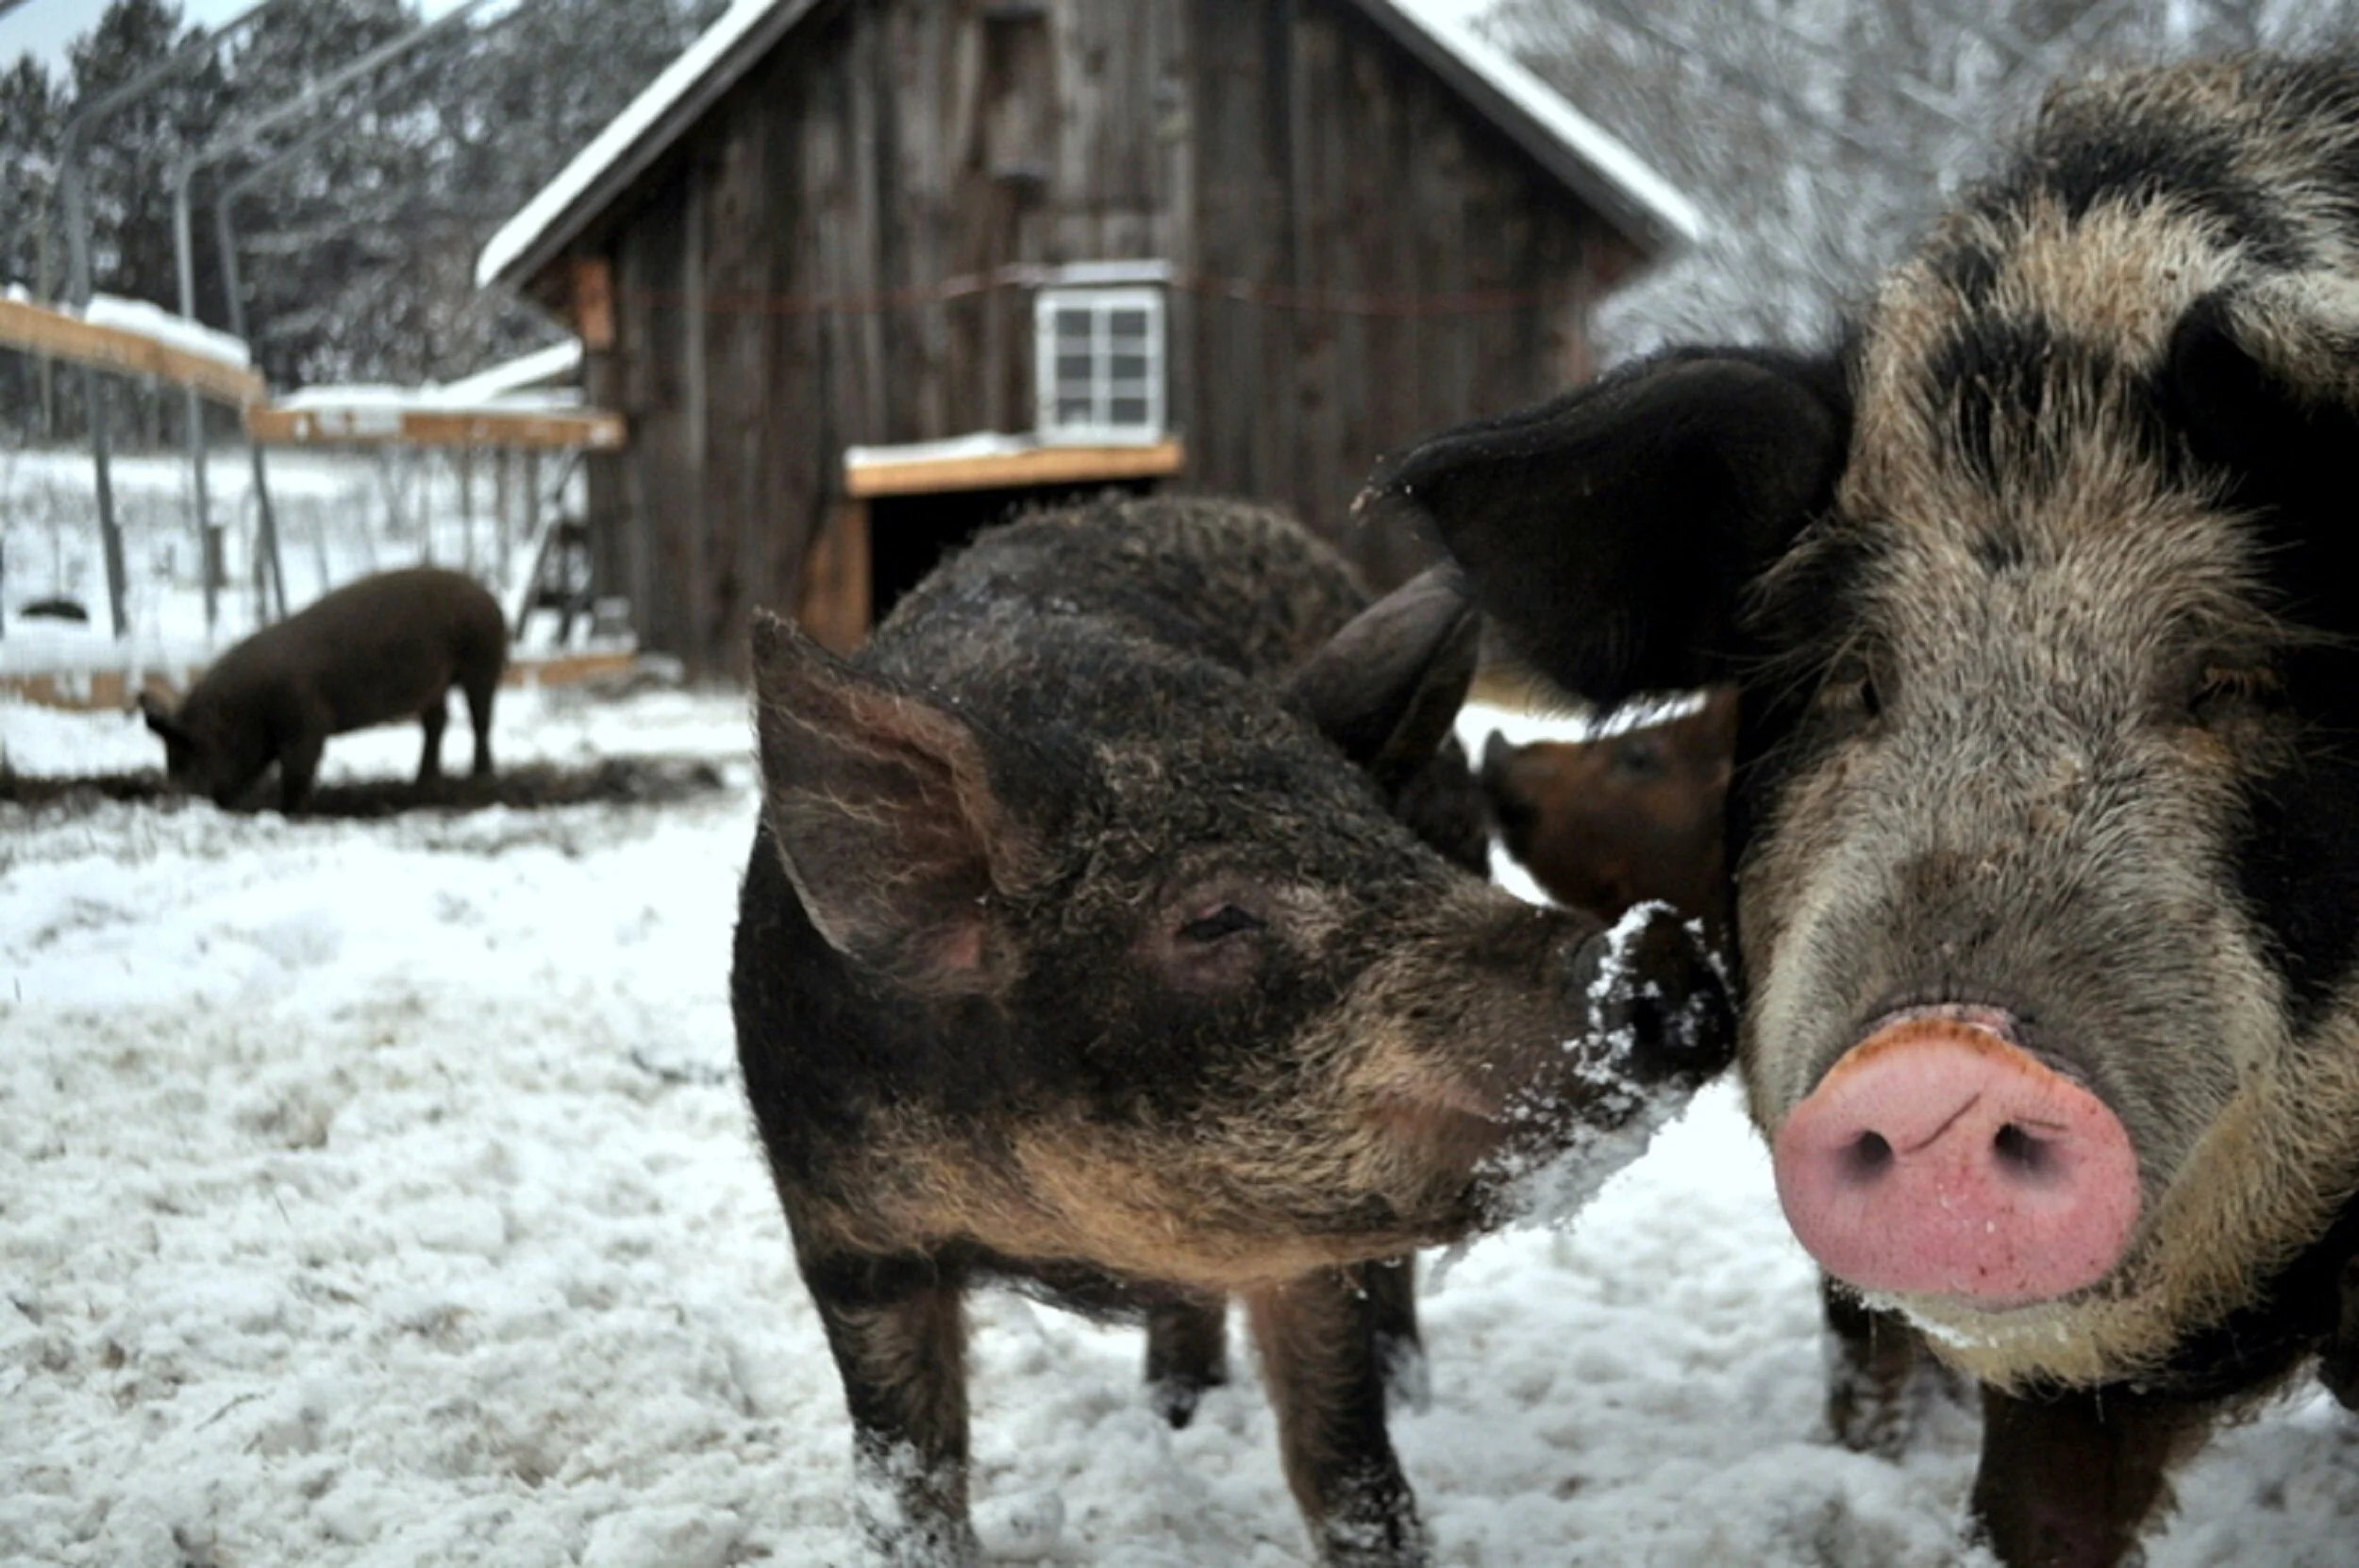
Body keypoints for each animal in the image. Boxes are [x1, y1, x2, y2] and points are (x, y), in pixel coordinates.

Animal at [139, 566, 506, 813]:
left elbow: (299, 766)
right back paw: (422, 781)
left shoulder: (306, 721)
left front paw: (289, 811)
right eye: (170, 758)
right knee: (437, 722)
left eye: (196, 750)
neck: (245, 712)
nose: (175, 799)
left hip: (482, 660)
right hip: (434, 684)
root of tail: (488, 596)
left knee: (481, 719)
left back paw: (482, 778)